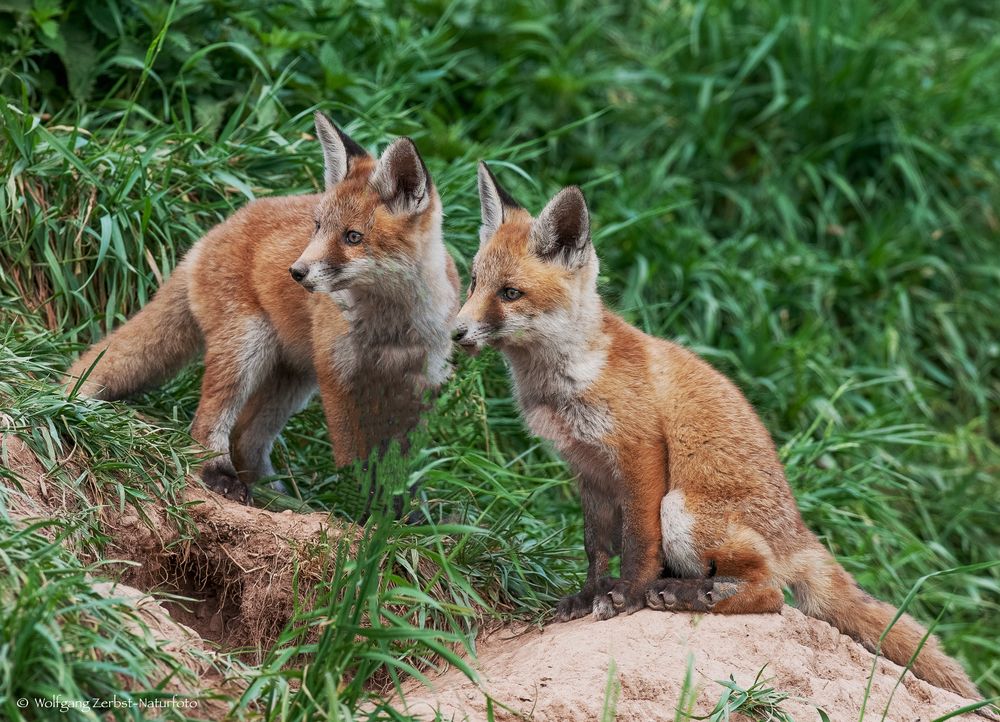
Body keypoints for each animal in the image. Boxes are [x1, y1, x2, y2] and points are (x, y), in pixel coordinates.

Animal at [66, 113, 460, 505]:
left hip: (293, 378)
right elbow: (357, 457)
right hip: (248, 346)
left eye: (353, 237)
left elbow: (404, 465)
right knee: (208, 422)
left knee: (246, 437)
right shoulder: (338, 376)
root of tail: (213, 231)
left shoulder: (418, 385)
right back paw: (220, 476)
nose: (296, 272)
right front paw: (371, 509)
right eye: (318, 227)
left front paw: (406, 512)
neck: (390, 326)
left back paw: (280, 498)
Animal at [451, 162, 980, 700]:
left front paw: (628, 596)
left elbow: (637, 543)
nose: (455, 333)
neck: (571, 378)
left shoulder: (641, 455)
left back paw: (691, 594)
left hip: (682, 510)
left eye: (510, 293)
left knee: (770, 593)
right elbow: (596, 548)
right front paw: (589, 595)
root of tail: (797, 530)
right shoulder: (590, 471)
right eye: (473, 283)